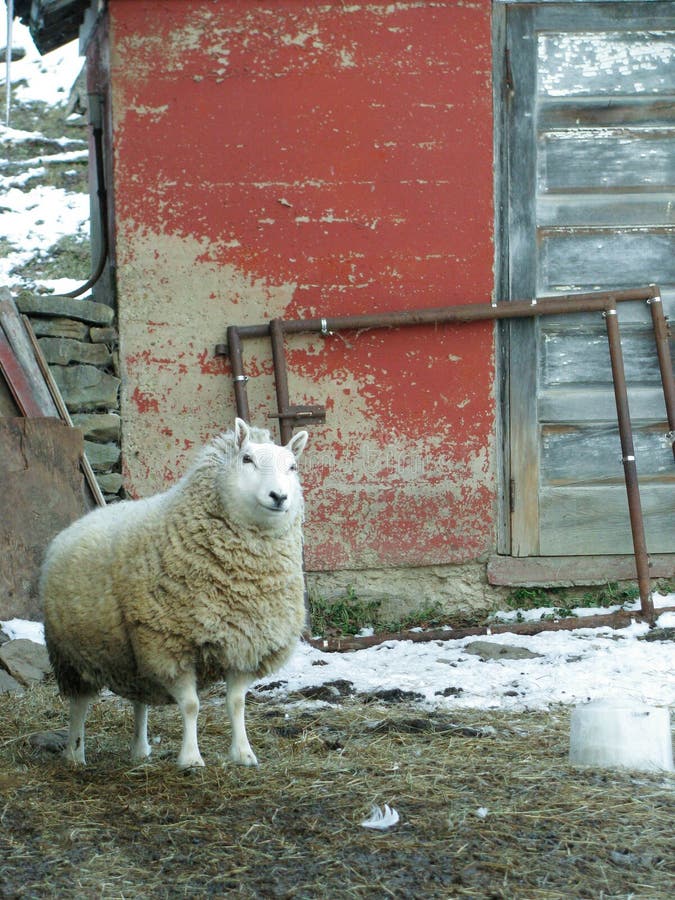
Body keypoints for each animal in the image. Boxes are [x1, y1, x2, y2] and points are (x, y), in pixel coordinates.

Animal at [41, 418, 309, 769]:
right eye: (247, 459)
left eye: (292, 466)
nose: (279, 496)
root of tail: (81, 520)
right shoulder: (168, 642)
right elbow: (191, 706)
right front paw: (191, 759)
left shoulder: (243, 644)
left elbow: (236, 703)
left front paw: (243, 753)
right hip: (71, 656)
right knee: (79, 706)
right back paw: (75, 754)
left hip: (132, 658)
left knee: (139, 700)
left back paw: (140, 750)